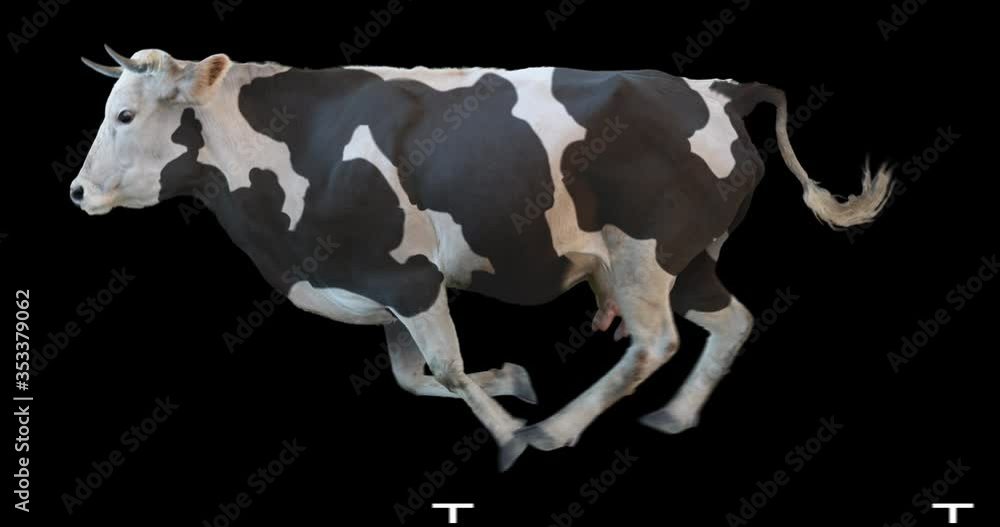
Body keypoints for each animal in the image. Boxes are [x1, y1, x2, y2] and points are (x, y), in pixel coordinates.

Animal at [73, 46, 893, 470]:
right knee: (731, 323)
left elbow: (444, 369)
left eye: (125, 113)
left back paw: (559, 428)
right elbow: (414, 376)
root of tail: (720, 88)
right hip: (689, 259)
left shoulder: (409, 275)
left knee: (655, 339)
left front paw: (507, 432)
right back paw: (675, 415)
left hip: (647, 251)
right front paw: (516, 382)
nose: (78, 191)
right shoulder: (384, 287)